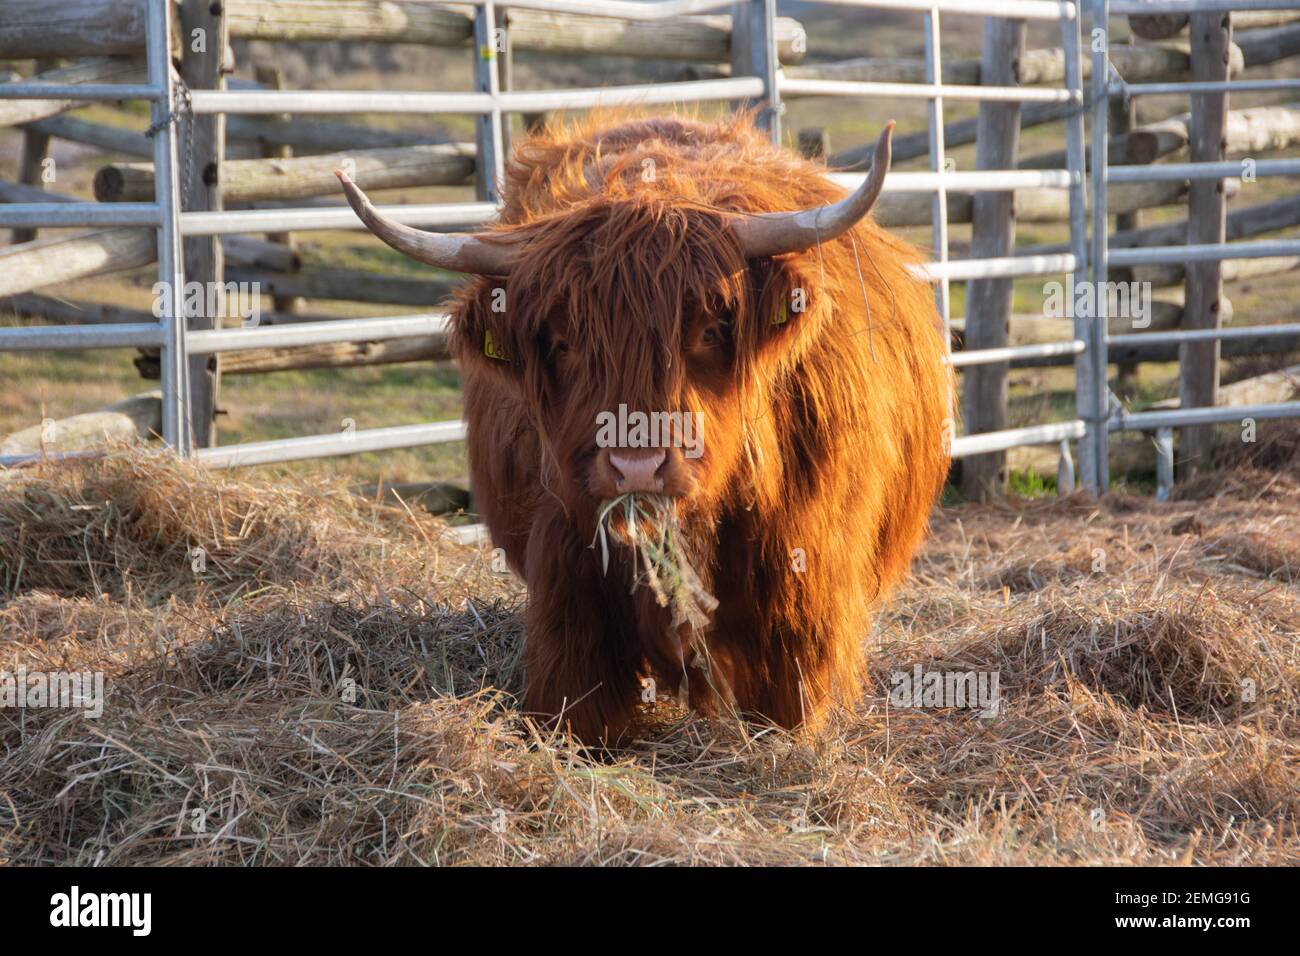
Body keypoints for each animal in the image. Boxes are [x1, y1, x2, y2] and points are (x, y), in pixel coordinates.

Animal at [337, 112, 951, 745]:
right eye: (564, 342)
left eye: (709, 330)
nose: (636, 465)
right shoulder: (568, 584)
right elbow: (573, 708)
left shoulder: (801, 586)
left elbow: (791, 704)